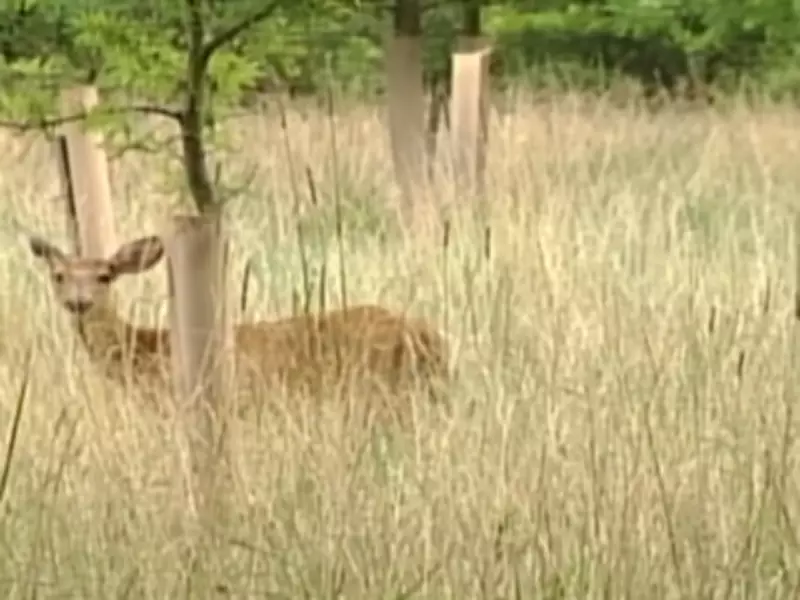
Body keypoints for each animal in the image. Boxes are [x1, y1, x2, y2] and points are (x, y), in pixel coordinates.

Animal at [26, 233, 451, 424]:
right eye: (58, 275)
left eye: (105, 275)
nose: (78, 303)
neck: (140, 350)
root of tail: (427, 335)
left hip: (377, 392)